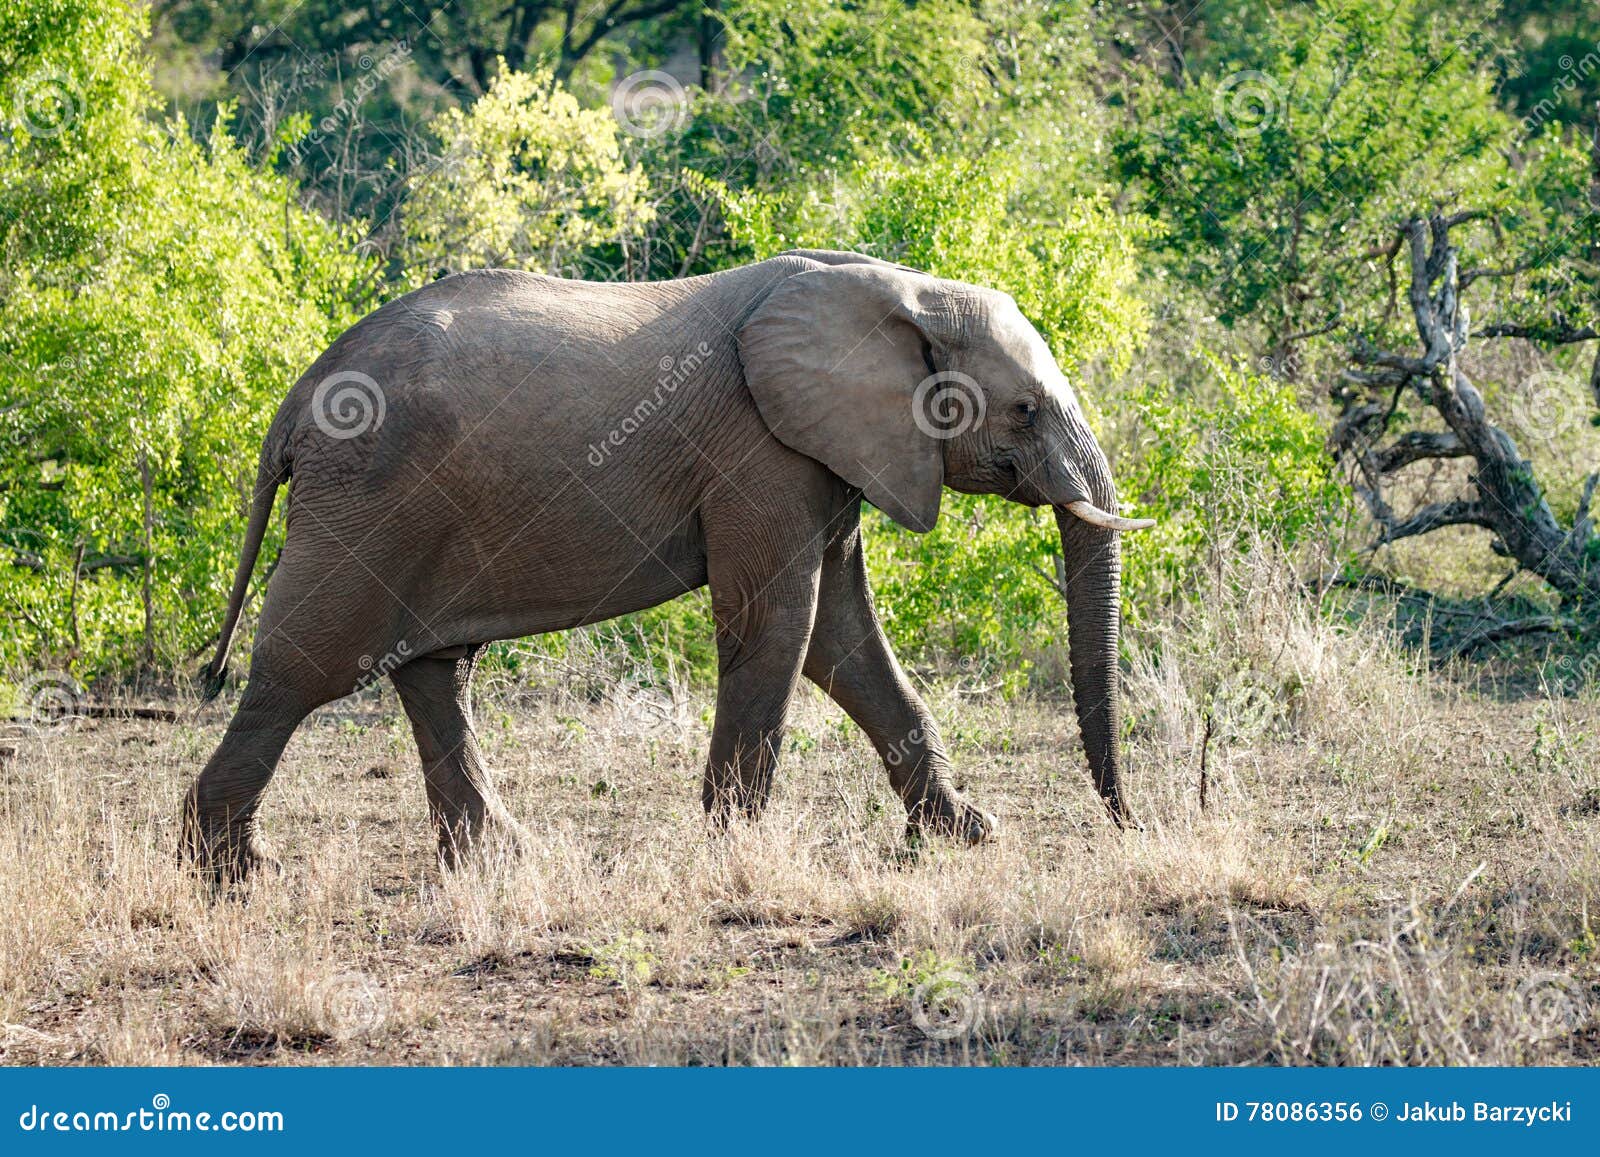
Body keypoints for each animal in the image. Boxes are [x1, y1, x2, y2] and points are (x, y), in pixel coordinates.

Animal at [180, 249, 1153, 883]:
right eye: (1025, 410)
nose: (1129, 822)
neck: (906, 288)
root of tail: (298, 397)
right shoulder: (761, 450)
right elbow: (779, 623)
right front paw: (735, 849)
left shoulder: (828, 451)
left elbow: (843, 641)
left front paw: (973, 835)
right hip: (364, 502)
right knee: (302, 667)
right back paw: (233, 869)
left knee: (431, 671)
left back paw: (502, 861)